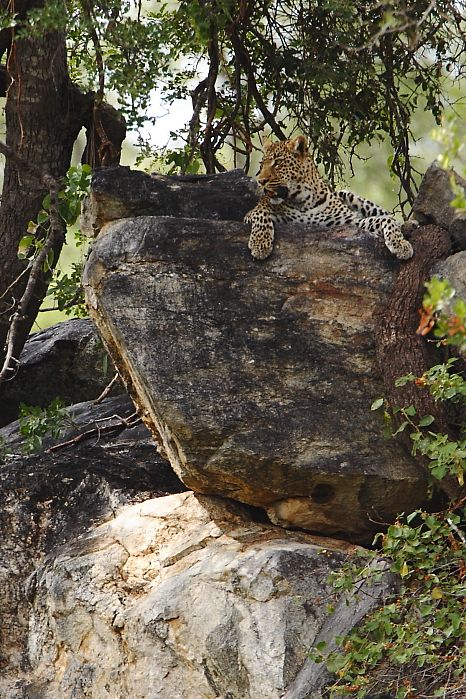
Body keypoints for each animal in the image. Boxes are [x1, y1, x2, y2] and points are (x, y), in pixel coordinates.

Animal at [244, 134, 414, 261]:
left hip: (349, 195)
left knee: (387, 214)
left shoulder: (349, 222)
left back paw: (409, 225)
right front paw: (260, 244)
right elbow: (261, 213)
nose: (260, 181)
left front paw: (401, 244)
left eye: (278, 162)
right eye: (262, 164)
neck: (303, 200)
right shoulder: (251, 216)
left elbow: (386, 219)